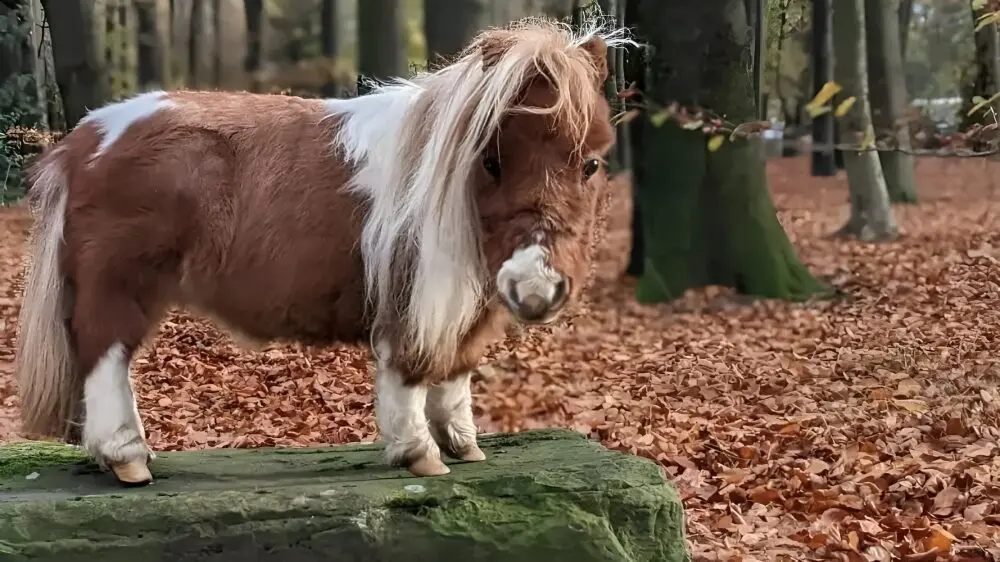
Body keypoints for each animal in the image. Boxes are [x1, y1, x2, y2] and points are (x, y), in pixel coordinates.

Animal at [14, 18, 631, 486]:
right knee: (104, 359)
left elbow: (454, 373)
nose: (537, 287)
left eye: (591, 163)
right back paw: (129, 459)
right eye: (492, 160)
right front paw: (421, 455)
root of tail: (86, 137)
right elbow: (410, 375)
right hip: (117, 286)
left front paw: (464, 445)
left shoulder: (468, 304)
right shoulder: (411, 297)